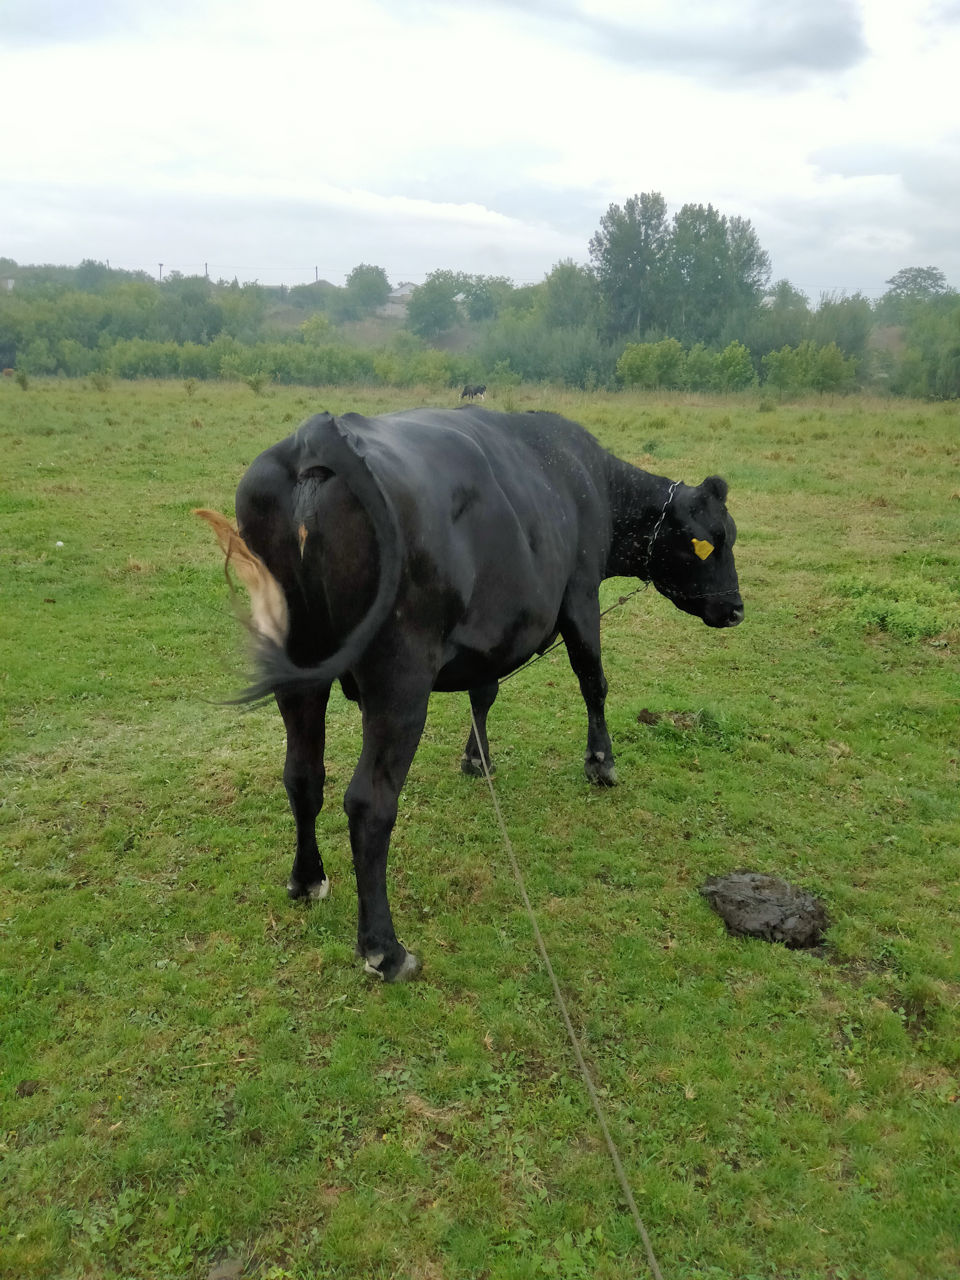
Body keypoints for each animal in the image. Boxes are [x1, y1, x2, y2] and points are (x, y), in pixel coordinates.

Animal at [197, 406, 743, 982]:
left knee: (303, 775)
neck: (593, 481)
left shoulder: (496, 630)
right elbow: (593, 680)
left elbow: (485, 692)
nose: (736, 608)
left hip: (299, 669)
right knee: (369, 802)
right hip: (400, 677)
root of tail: (319, 434)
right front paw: (601, 764)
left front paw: (477, 758)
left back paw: (307, 881)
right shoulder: (580, 595)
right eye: (714, 539)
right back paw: (385, 950)